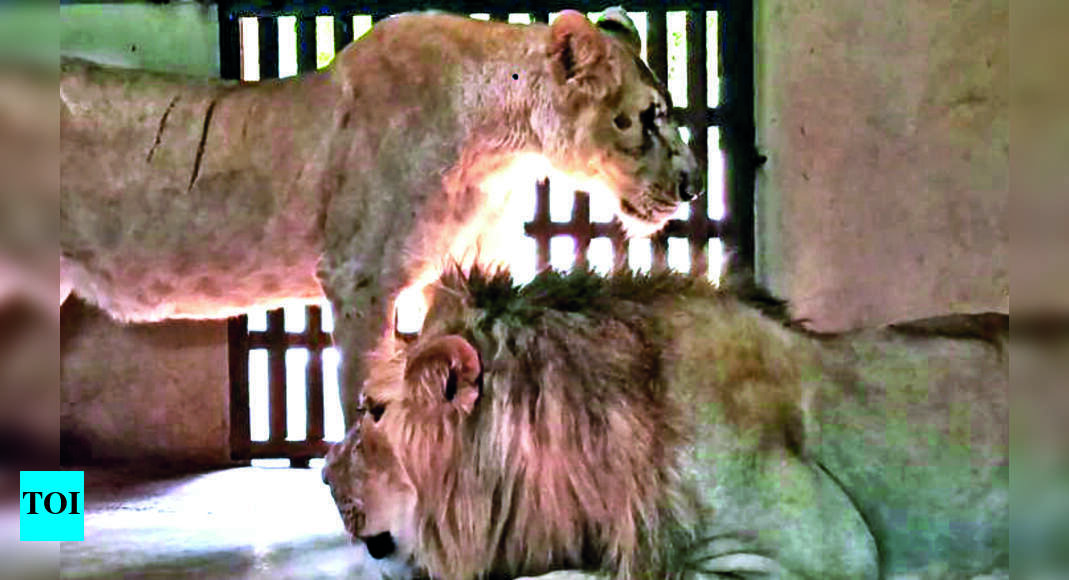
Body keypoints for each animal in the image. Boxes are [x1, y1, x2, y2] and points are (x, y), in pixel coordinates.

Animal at [59, 8, 700, 423]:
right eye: (648, 116)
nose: (695, 184)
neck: (500, 147)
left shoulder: (467, 272)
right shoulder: (359, 279)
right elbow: (361, 396)